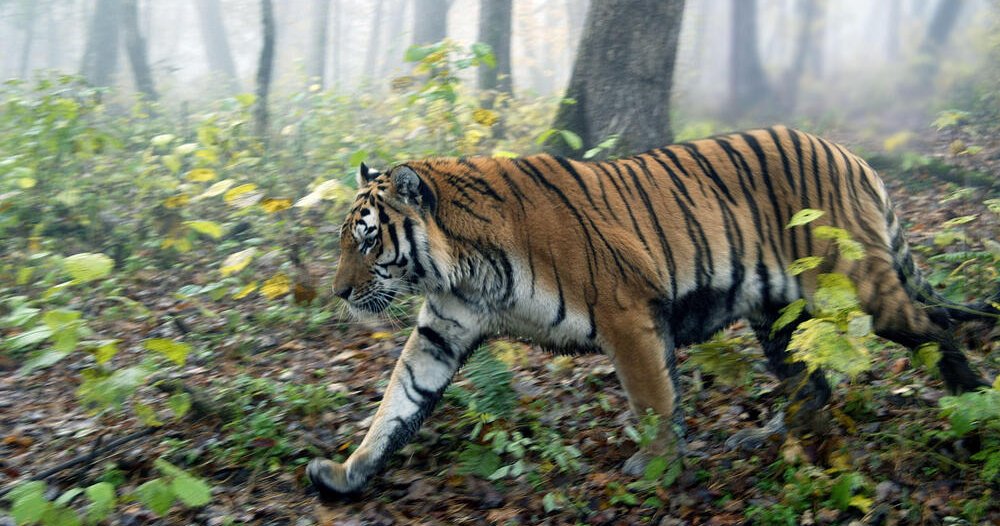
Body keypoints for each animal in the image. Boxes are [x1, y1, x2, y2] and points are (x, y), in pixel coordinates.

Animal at [307, 125, 996, 499]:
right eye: (344, 240)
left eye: (366, 240)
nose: (338, 293)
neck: (461, 266)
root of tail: (852, 155)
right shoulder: (441, 331)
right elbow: (397, 404)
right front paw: (346, 473)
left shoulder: (626, 312)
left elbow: (652, 397)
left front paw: (657, 467)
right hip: (777, 314)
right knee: (811, 379)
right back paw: (769, 435)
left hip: (854, 285)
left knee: (934, 329)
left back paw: (973, 410)